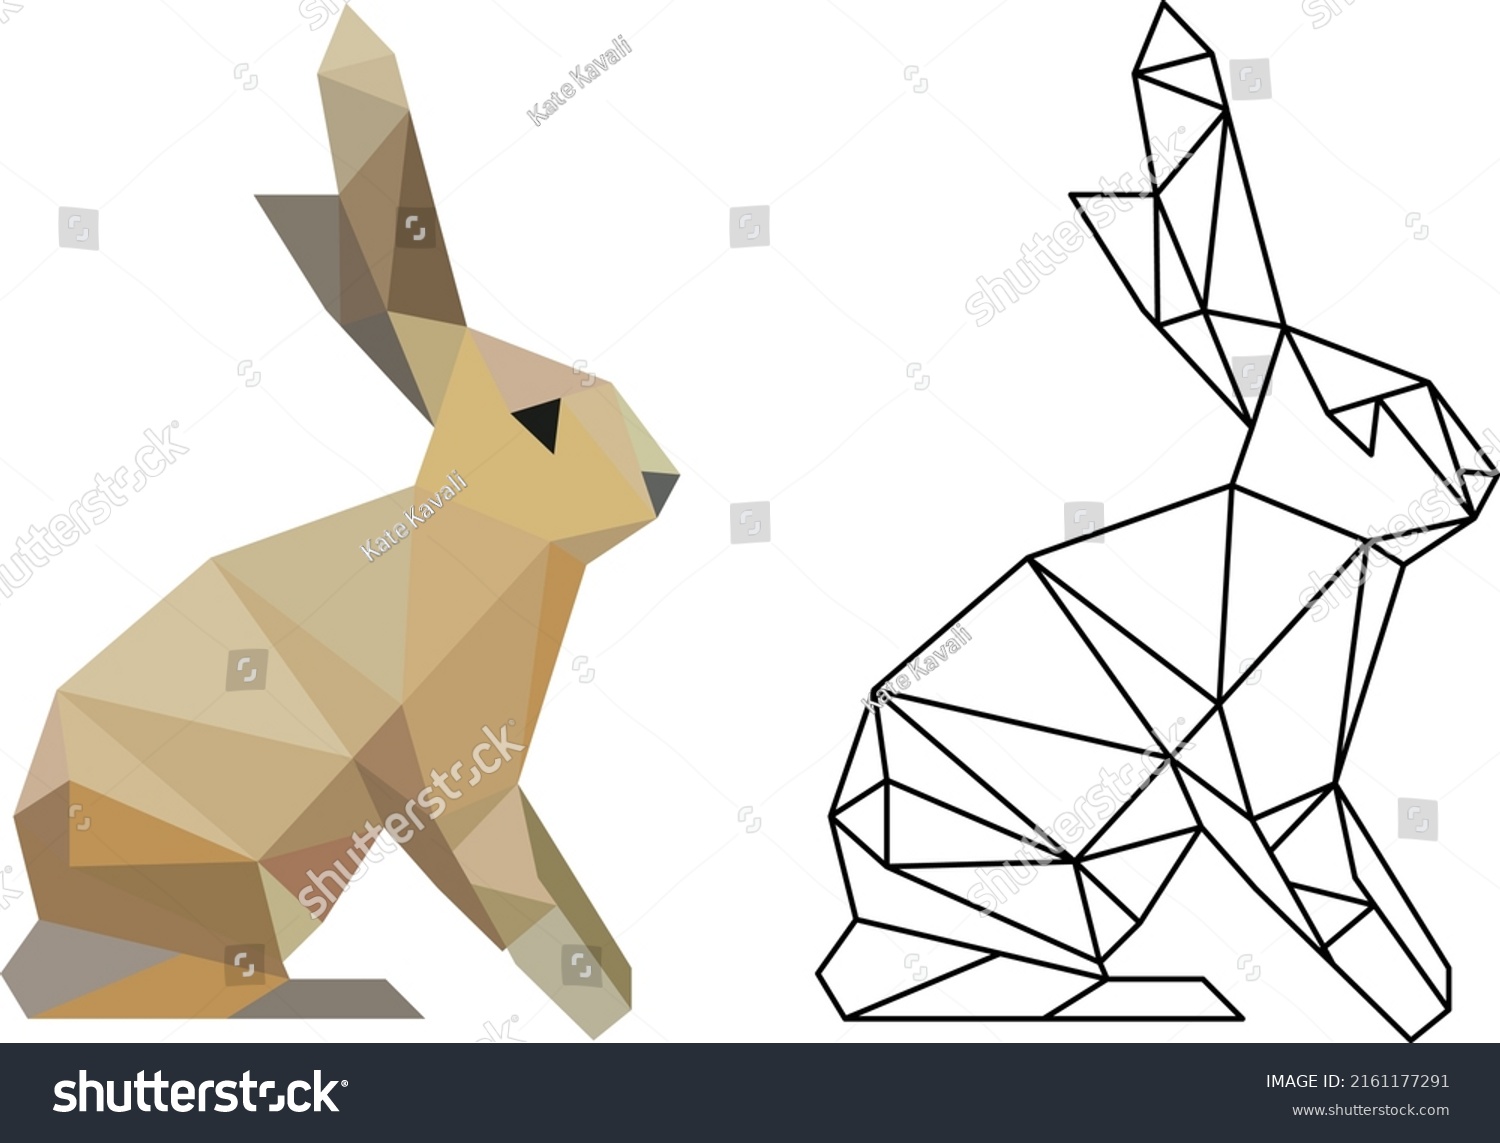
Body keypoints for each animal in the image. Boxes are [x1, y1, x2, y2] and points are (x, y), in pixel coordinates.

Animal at [3, 8, 675, 1040]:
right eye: (541, 420)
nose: (665, 479)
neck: (465, 536)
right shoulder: (450, 784)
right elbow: (510, 892)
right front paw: (596, 1002)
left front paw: (624, 981)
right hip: (259, 884)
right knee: (217, 990)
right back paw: (381, 998)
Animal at [818, 2, 1496, 1042]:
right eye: (1372, 419)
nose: (1480, 470)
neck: (1288, 528)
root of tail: (858, 885)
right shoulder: (1259, 791)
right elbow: (1332, 900)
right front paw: (1417, 1005)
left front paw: (1435, 989)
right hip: (1078, 868)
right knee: (1009, 980)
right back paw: (1195, 995)